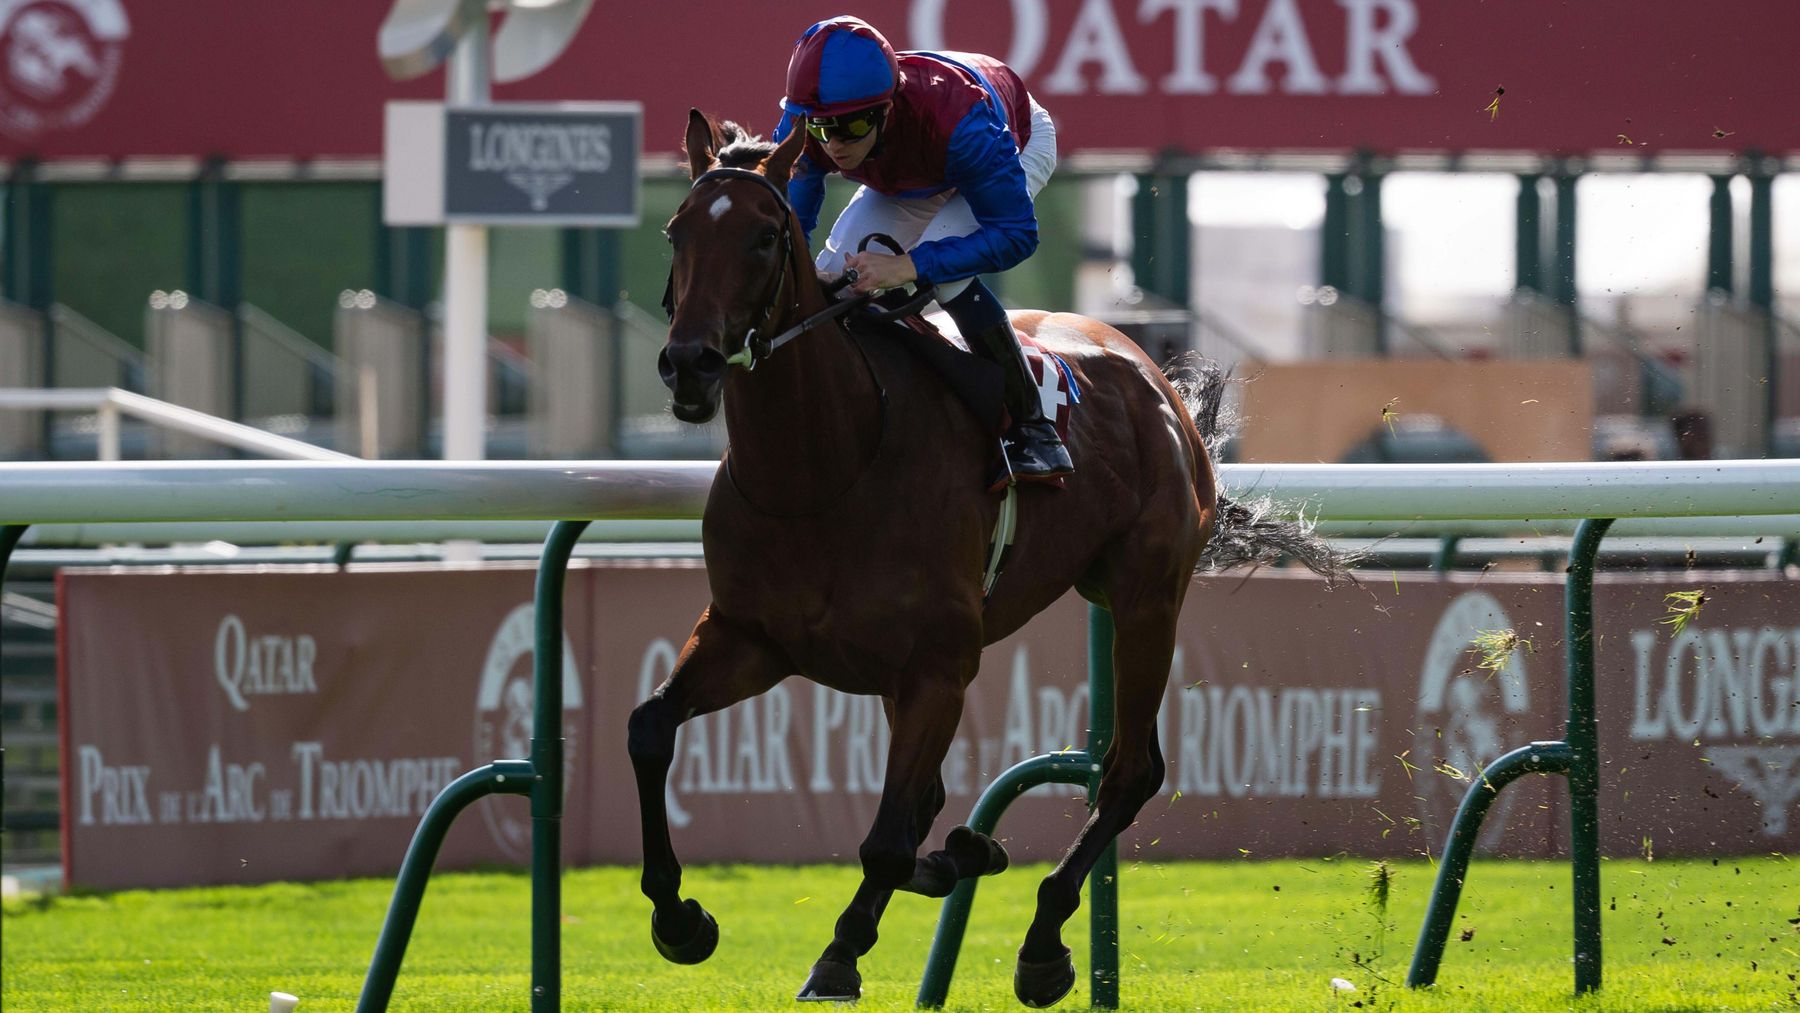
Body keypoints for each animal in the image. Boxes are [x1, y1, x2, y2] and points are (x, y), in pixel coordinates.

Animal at [631, 109, 1342, 1008]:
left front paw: (841, 952)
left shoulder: (939, 667)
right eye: (676, 230)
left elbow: (884, 838)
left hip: (1145, 597)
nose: (688, 364)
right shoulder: (750, 638)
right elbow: (650, 728)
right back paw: (970, 856)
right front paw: (679, 917)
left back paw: (1041, 942)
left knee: (1128, 770)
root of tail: (1156, 379)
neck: (829, 463)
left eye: (763, 237)